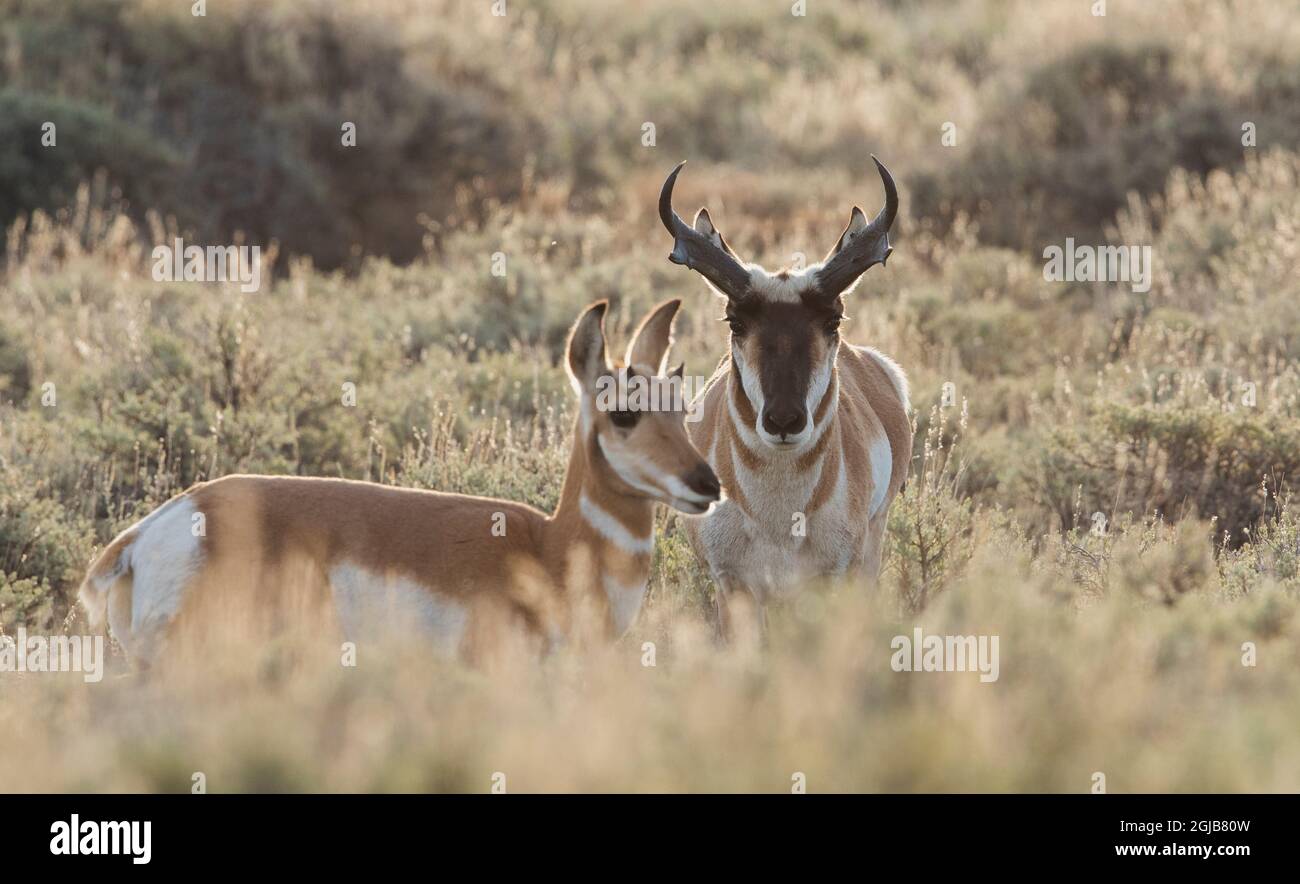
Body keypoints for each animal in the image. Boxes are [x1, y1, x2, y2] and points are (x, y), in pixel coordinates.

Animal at [657, 157, 912, 637]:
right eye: (735, 321)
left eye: (833, 319)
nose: (784, 420)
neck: (778, 520)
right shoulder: (734, 588)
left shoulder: (829, 582)